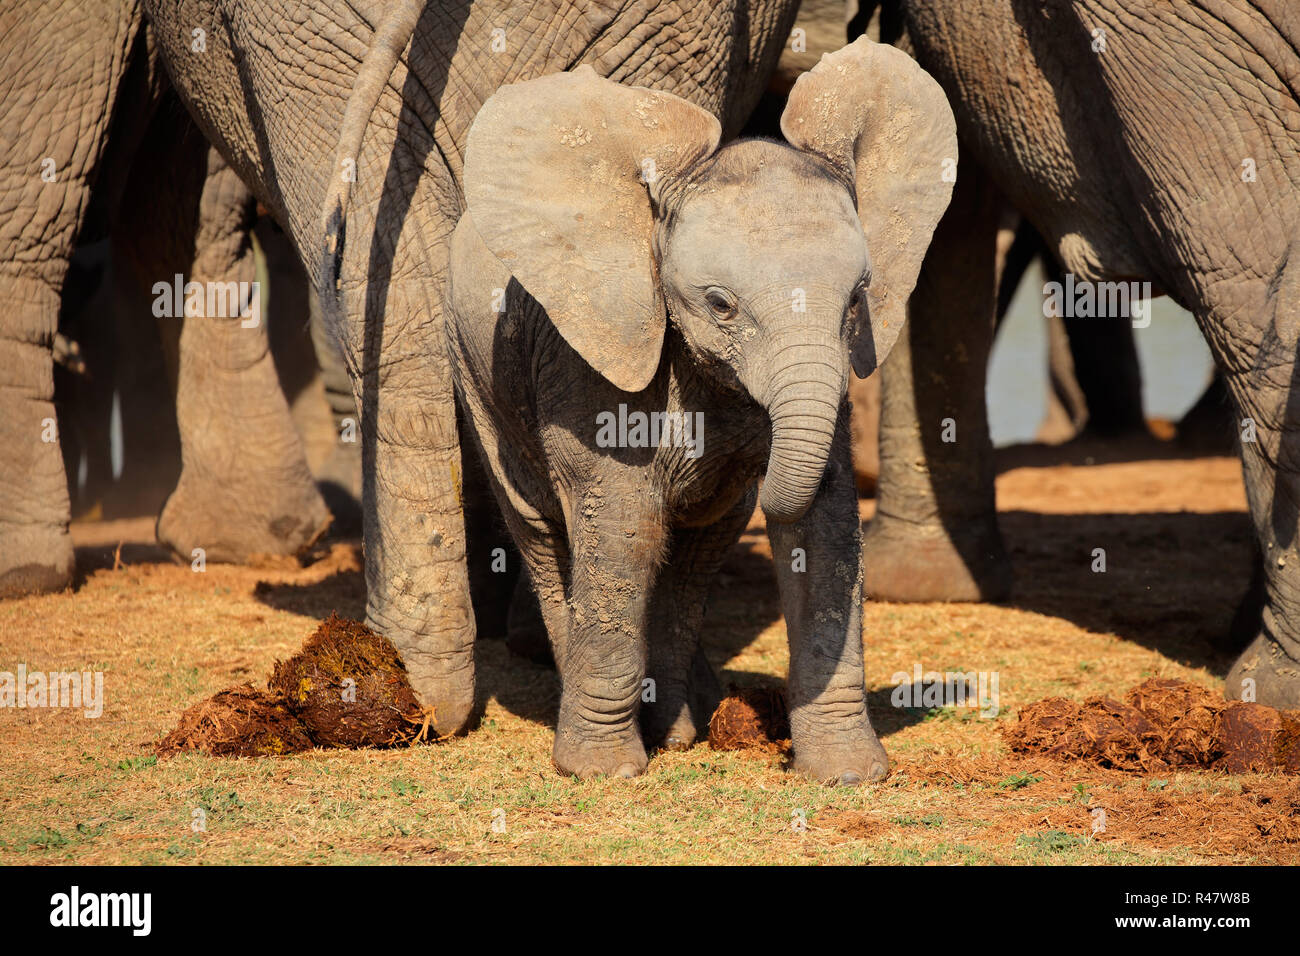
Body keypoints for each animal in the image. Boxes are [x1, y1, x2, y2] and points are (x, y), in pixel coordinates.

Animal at [444, 42, 956, 779]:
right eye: (720, 304)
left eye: (858, 297)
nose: (755, 466)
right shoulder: (596, 346)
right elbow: (624, 525)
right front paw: (604, 772)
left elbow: (825, 526)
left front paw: (848, 775)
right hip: (473, 367)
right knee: (541, 529)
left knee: (696, 548)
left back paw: (680, 729)